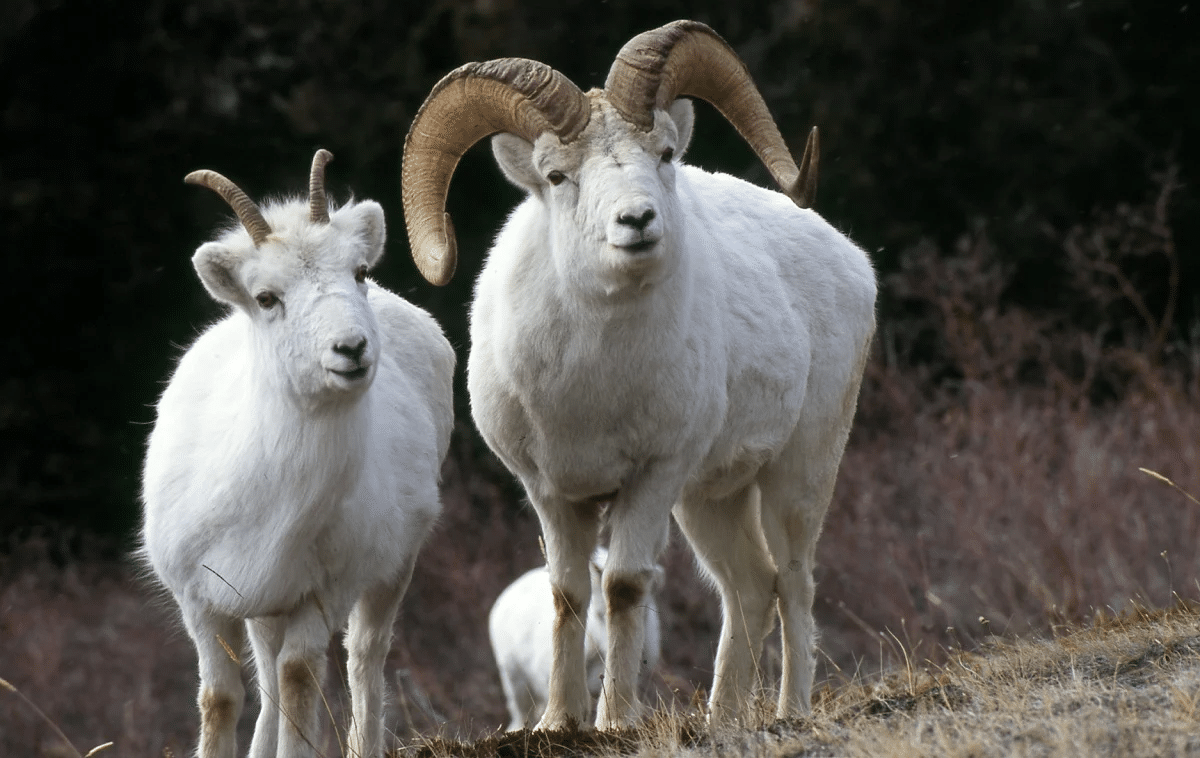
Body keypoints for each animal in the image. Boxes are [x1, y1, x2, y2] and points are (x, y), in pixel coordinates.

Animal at [140, 150, 455, 758]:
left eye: (358, 272)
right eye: (266, 298)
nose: (351, 349)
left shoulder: (320, 594)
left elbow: (299, 681)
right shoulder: (201, 602)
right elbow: (221, 699)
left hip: (392, 568)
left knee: (361, 657)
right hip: (263, 610)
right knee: (265, 680)